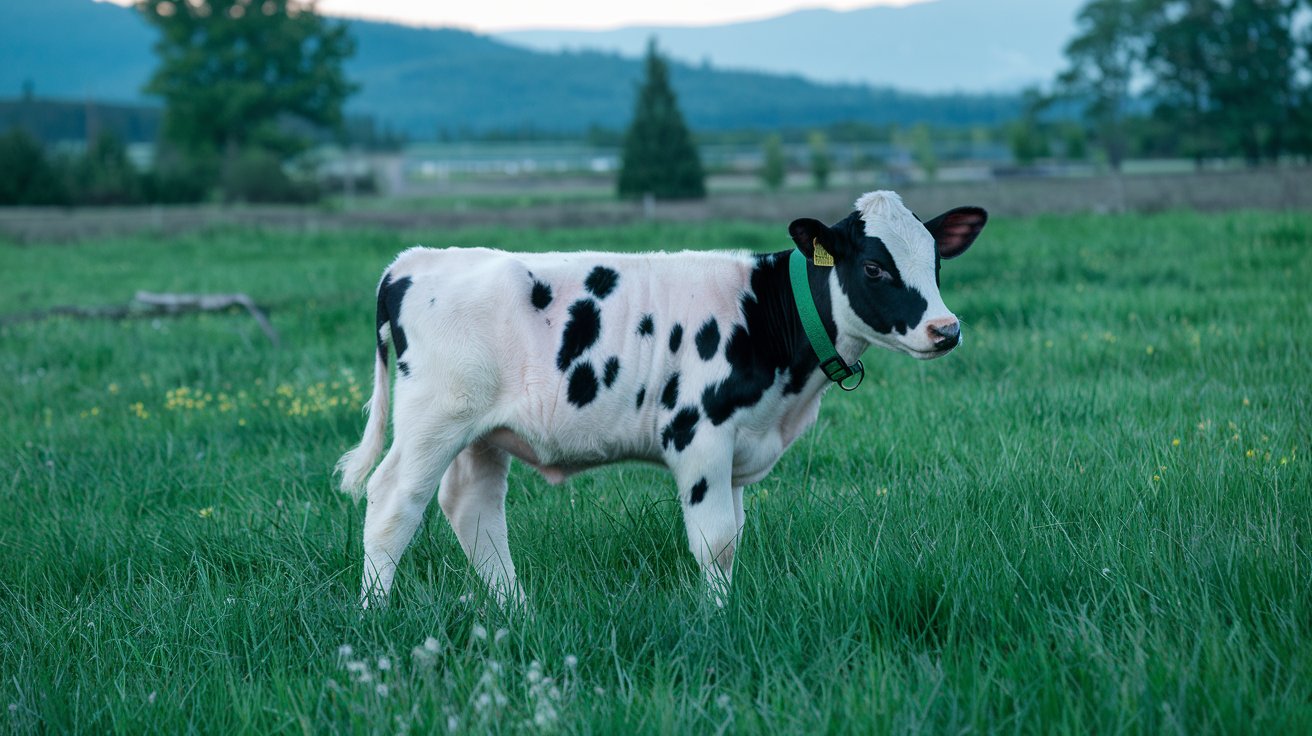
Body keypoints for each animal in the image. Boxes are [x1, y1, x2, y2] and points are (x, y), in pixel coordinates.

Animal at [336, 190, 987, 608]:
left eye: (934, 262)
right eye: (874, 267)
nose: (946, 329)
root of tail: (417, 259)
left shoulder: (739, 450)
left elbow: (733, 535)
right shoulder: (699, 435)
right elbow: (714, 540)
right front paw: (717, 619)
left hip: (480, 432)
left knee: (472, 508)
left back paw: (514, 612)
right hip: (433, 420)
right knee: (394, 501)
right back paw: (375, 617)